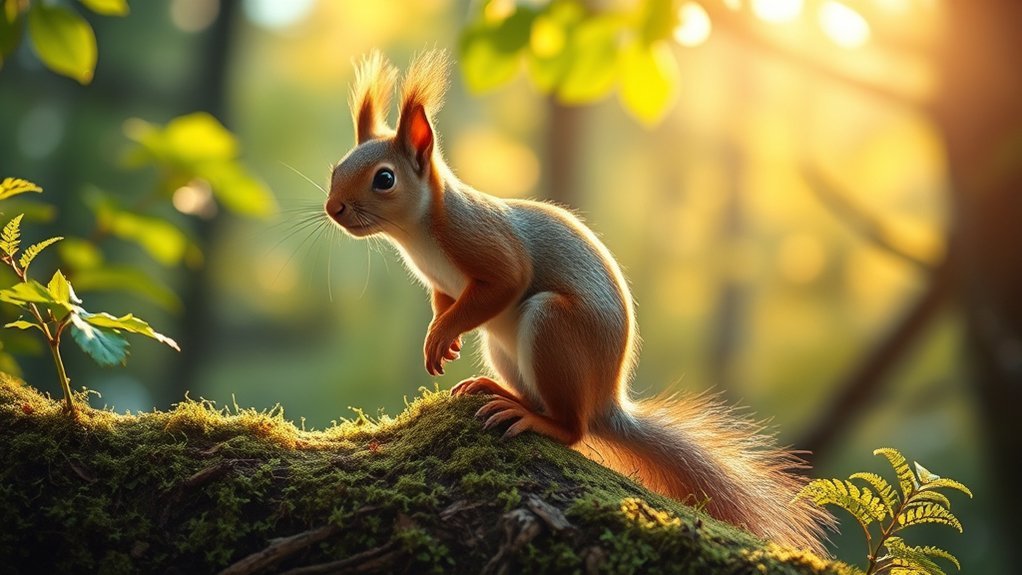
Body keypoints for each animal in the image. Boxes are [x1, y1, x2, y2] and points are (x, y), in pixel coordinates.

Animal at [324, 50, 833, 554]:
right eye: (335, 170)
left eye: (384, 179)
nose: (333, 209)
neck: (417, 235)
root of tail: (606, 401)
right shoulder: (443, 285)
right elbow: (445, 302)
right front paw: (441, 338)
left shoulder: (485, 243)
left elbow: (506, 281)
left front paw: (442, 335)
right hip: (504, 349)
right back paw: (500, 393)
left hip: (552, 326)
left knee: (573, 429)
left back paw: (532, 418)